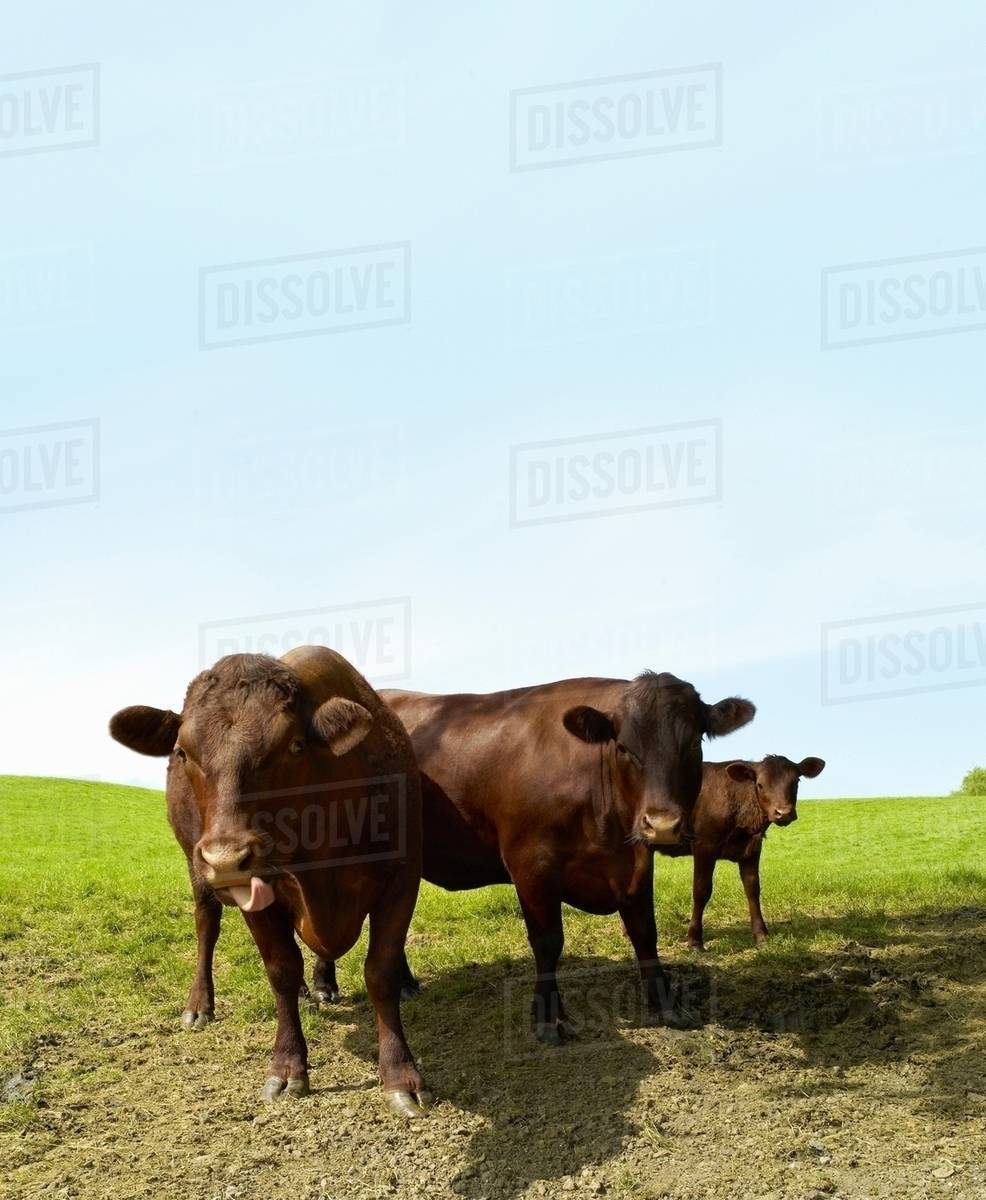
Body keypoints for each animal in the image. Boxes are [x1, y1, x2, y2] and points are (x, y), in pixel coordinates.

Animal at [109, 647, 433, 1118]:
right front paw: (287, 1067)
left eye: (294, 746)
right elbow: (280, 969)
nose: (227, 859)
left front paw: (400, 1074)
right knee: (207, 925)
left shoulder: (402, 878)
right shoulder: (256, 899)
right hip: (196, 869)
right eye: (183, 751)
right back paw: (200, 1005)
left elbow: (381, 971)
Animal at [672, 755, 826, 949]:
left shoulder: (751, 849)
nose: (783, 813)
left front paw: (761, 935)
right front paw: (694, 940)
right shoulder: (703, 846)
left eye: (796, 781)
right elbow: (701, 890)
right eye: (760, 785)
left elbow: (753, 888)